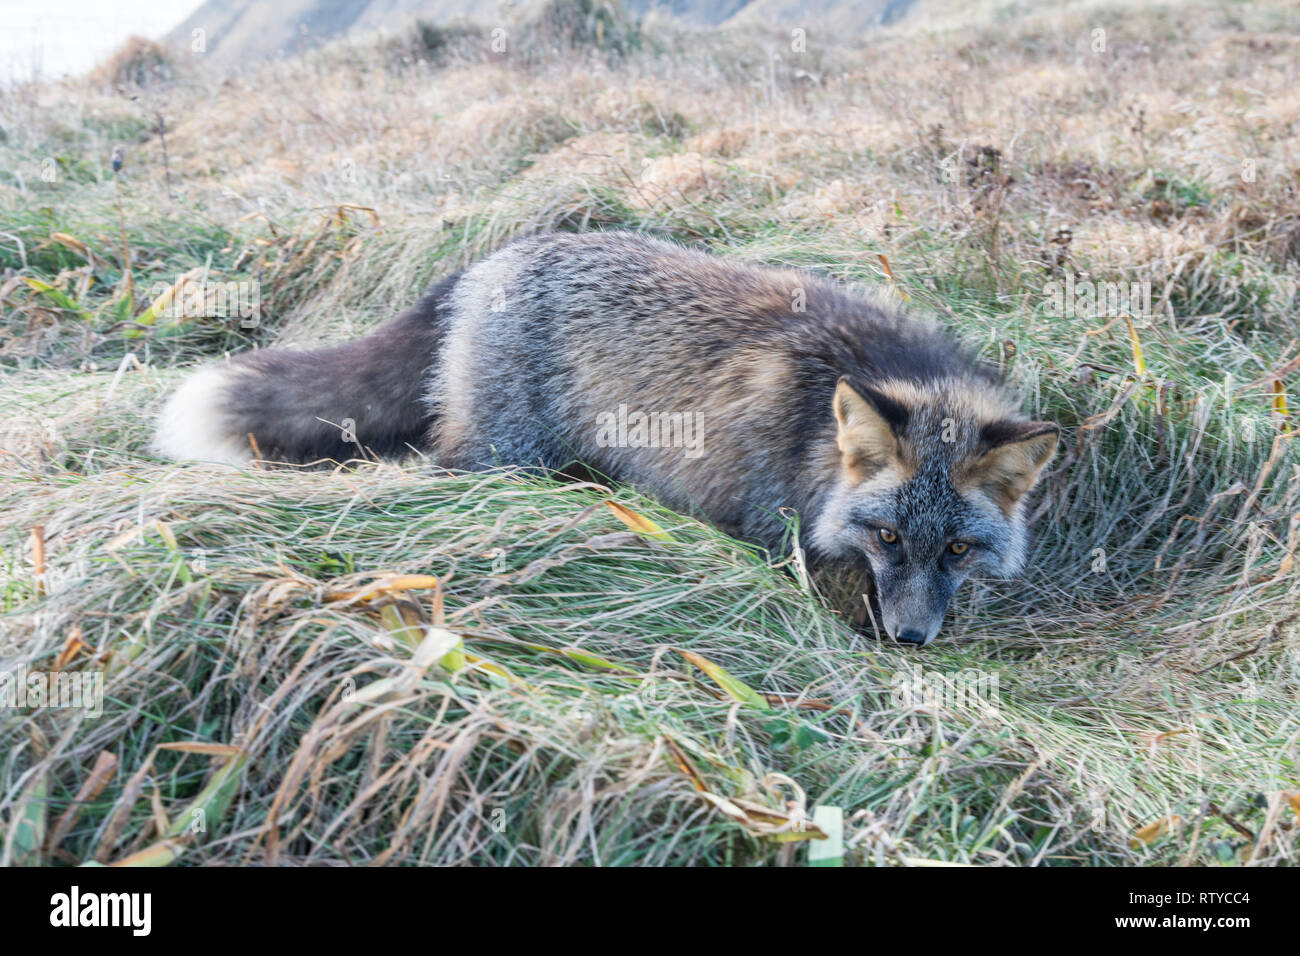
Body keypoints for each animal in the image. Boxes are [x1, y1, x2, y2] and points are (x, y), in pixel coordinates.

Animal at [154, 231, 1059, 646]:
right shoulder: (774, 522)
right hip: (499, 457)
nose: (911, 641)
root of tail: (493, 258)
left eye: (957, 550)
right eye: (889, 536)